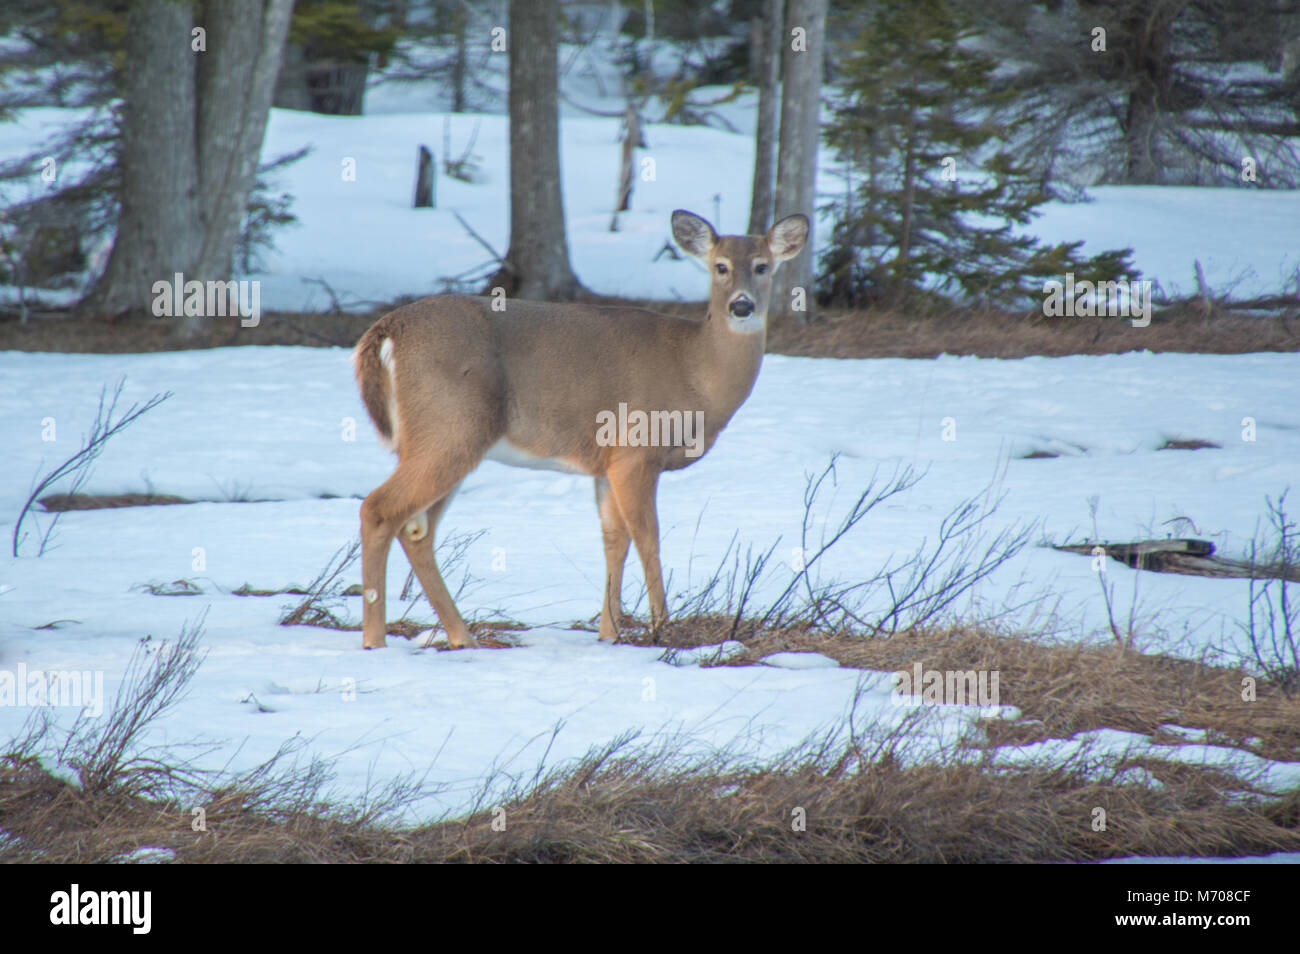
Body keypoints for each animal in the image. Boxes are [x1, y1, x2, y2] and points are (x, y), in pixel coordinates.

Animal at [351, 209, 808, 650]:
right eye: (720, 266)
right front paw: (661, 627)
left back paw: (462, 636)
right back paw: (375, 640)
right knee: (379, 508)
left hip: (441, 440)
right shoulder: (636, 449)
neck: (694, 371)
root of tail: (387, 330)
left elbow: (614, 540)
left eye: (763, 266)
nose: (742, 306)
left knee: (416, 530)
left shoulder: (607, 464)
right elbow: (648, 537)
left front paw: (609, 633)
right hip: (450, 427)